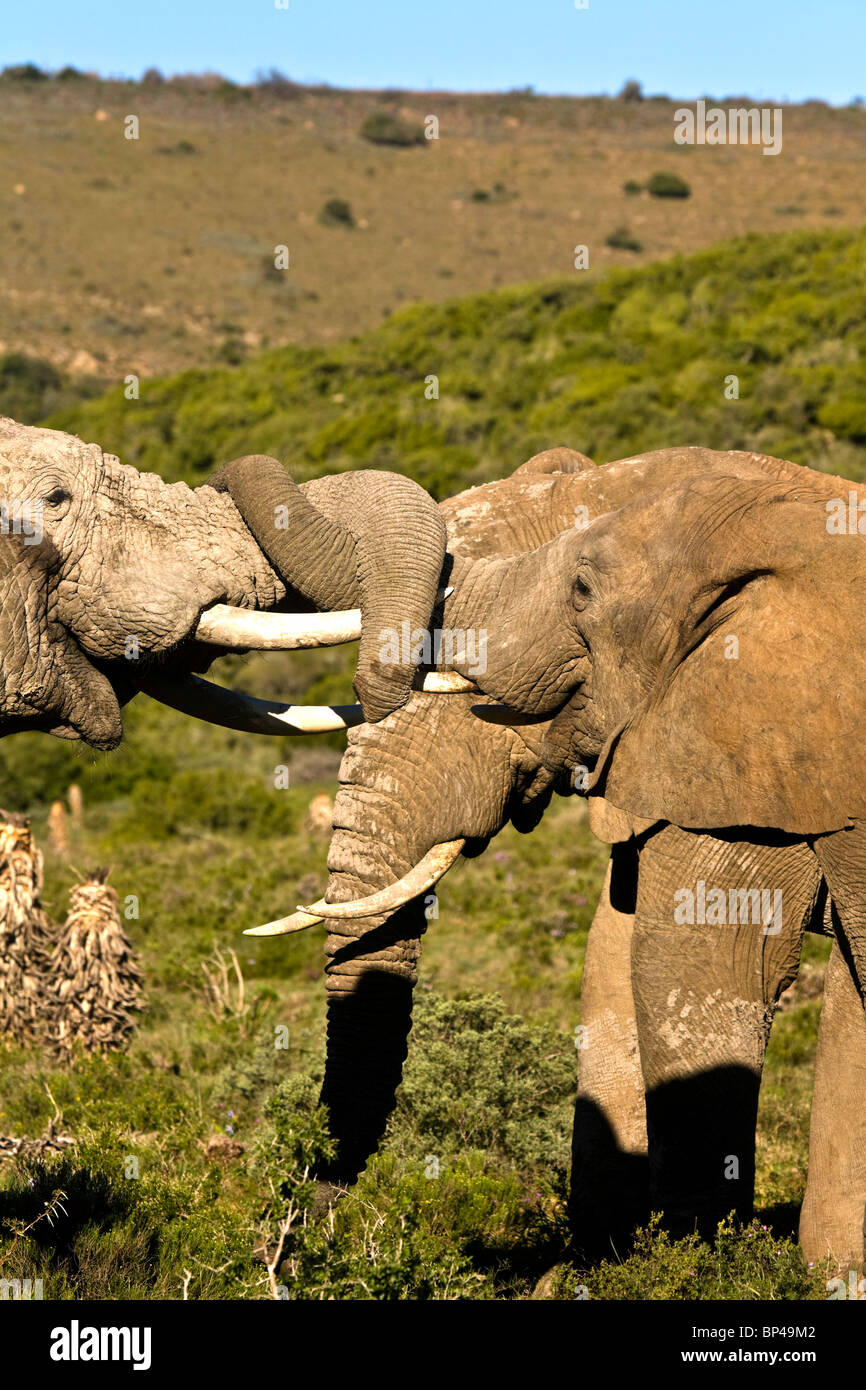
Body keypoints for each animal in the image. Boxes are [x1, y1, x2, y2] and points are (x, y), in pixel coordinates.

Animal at [223, 440, 863, 1271]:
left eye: (467, 695)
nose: (293, 1242)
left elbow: (695, 962)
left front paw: (710, 1268)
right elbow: (618, 959)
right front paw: (608, 1265)